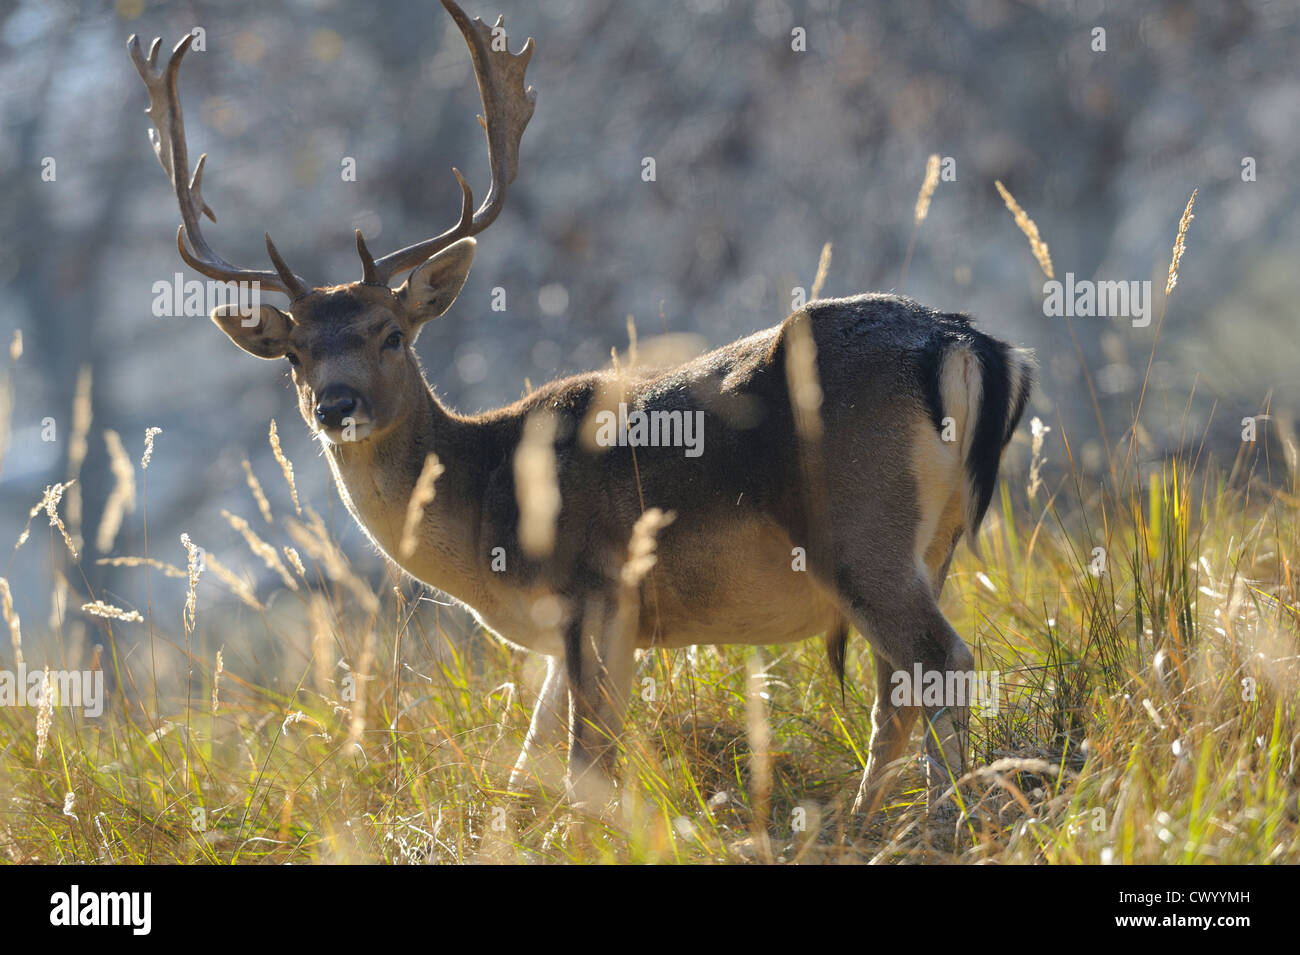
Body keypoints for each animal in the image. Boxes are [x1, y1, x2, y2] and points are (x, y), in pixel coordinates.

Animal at [129, 0, 1033, 821]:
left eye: (391, 333)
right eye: (295, 353)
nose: (335, 403)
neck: (484, 512)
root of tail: (965, 341)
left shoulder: (591, 588)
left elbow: (582, 757)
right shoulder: (608, 626)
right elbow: (535, 755)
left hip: (860, 526)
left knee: (940, 660)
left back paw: (944, 817)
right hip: (932, 546)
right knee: (899, 690)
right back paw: (872, 815)